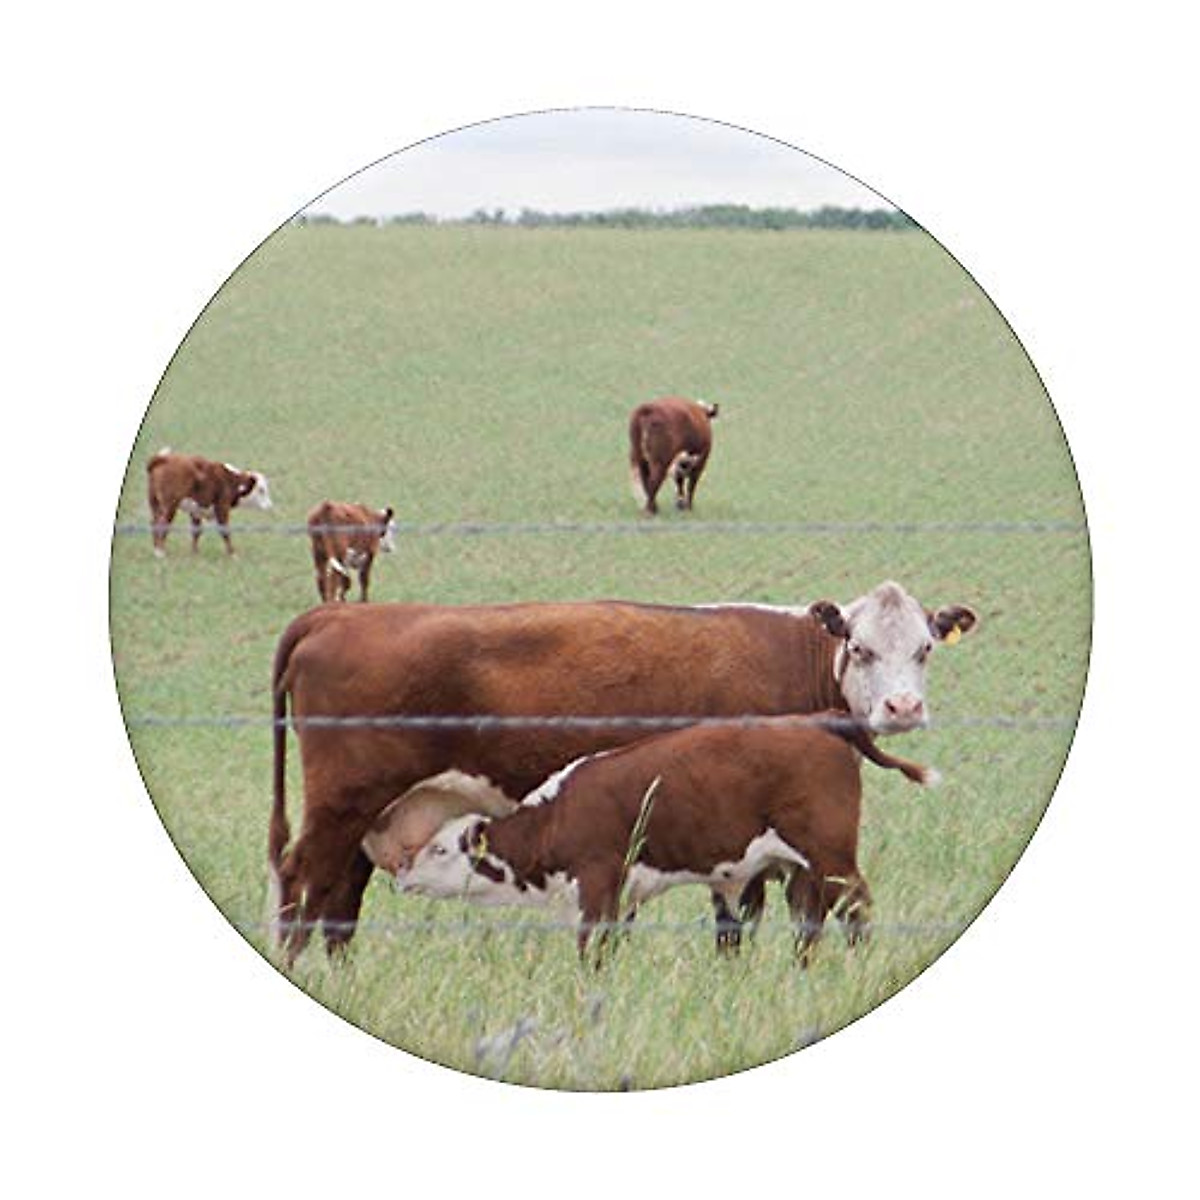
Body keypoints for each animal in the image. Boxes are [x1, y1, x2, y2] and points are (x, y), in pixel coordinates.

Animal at [390, 716, 935, 964]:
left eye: (439, 848)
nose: (401, 876)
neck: (556, 815)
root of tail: (820, 720)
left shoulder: (598, 883)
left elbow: (592, 948)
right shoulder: (620, 893)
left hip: (830, 854)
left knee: (856, 909)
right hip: (800, 868)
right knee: (810, 922)